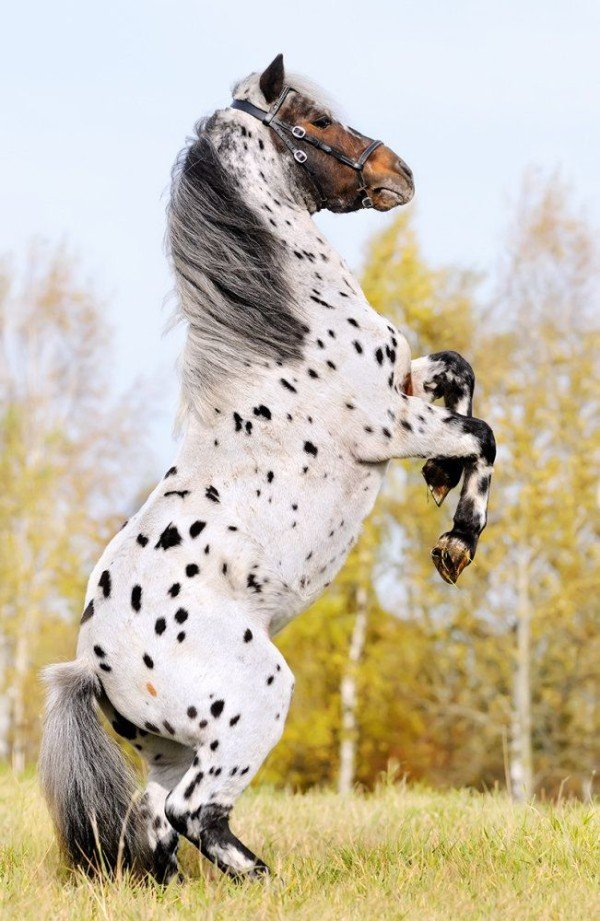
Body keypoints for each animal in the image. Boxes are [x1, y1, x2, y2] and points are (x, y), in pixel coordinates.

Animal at [40, 54, 495, 881]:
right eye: (315, 120)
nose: (400, 171)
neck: (292, 335)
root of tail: (91, 665)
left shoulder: (400, 385)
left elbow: (455, 367)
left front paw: (440, 483)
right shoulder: (384, 425)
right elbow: (479, 434)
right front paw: (457, 540)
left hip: (172, 745)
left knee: (156, 823)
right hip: (253, 700)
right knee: (194, 812)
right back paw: (267, 881)